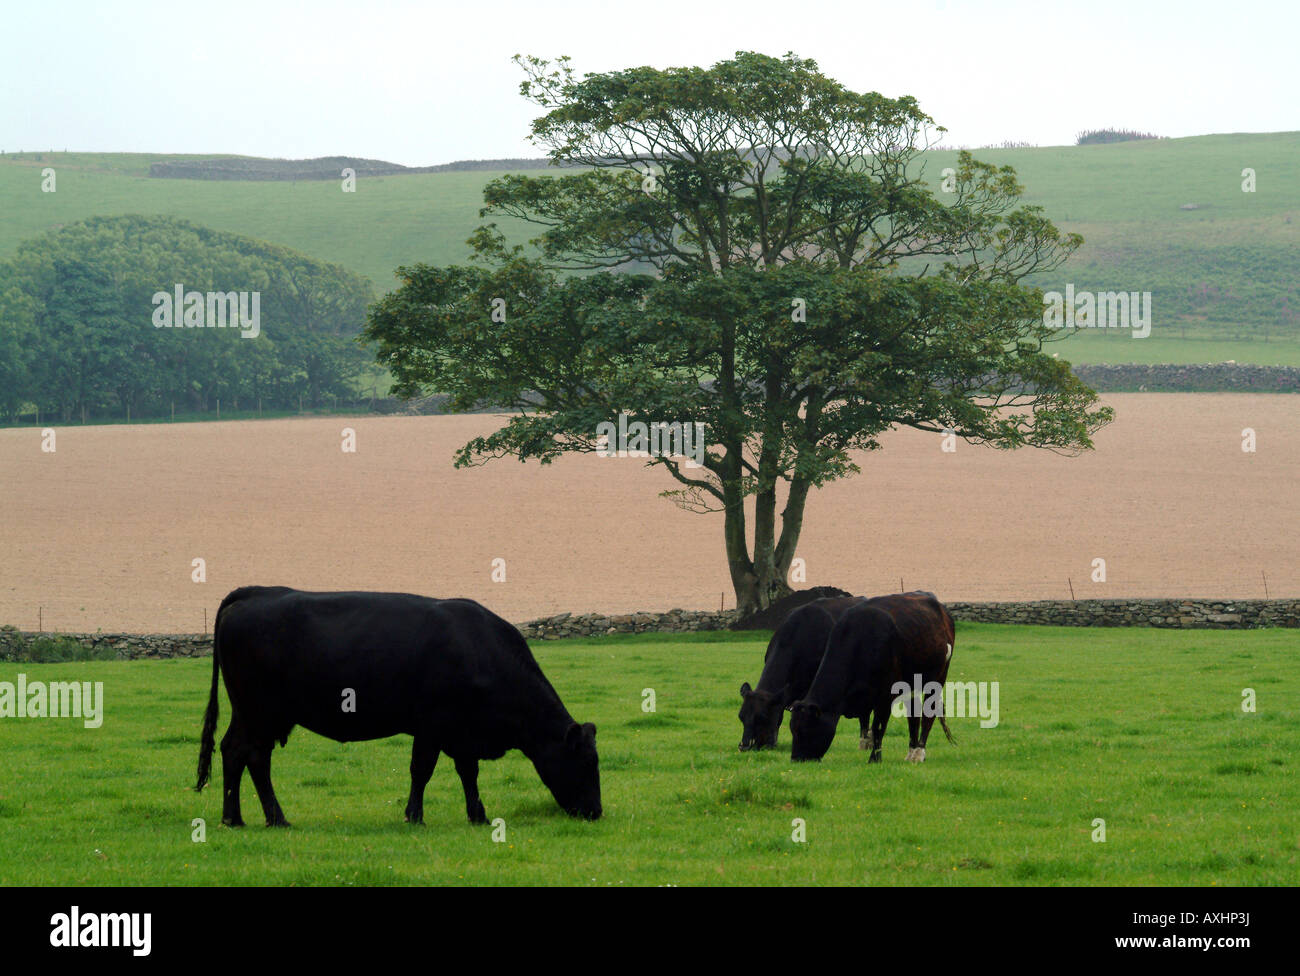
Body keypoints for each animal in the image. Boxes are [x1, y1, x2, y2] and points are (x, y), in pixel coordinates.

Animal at [195, 586, 601, 826]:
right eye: (585, 761)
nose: (596, 812)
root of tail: (255, 594)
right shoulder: (432, 725)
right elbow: (421, 771)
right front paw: (415, 816)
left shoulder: (463, 733)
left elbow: (468, 773)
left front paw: (478, 816)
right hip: (258, 711)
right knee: (245, 754)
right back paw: (260, 819)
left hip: (259, 715)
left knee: (243, 755)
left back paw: (247, 818)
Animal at [789, 591, 956, 763]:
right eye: (792, 729)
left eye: (806, 729)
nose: (796, 759)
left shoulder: (885, 696)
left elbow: (878, 727)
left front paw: (874, 759)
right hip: (912, 684)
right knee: (913, 715)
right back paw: (911, 752)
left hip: (937, 678)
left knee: (928, 714)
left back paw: (919, 752)